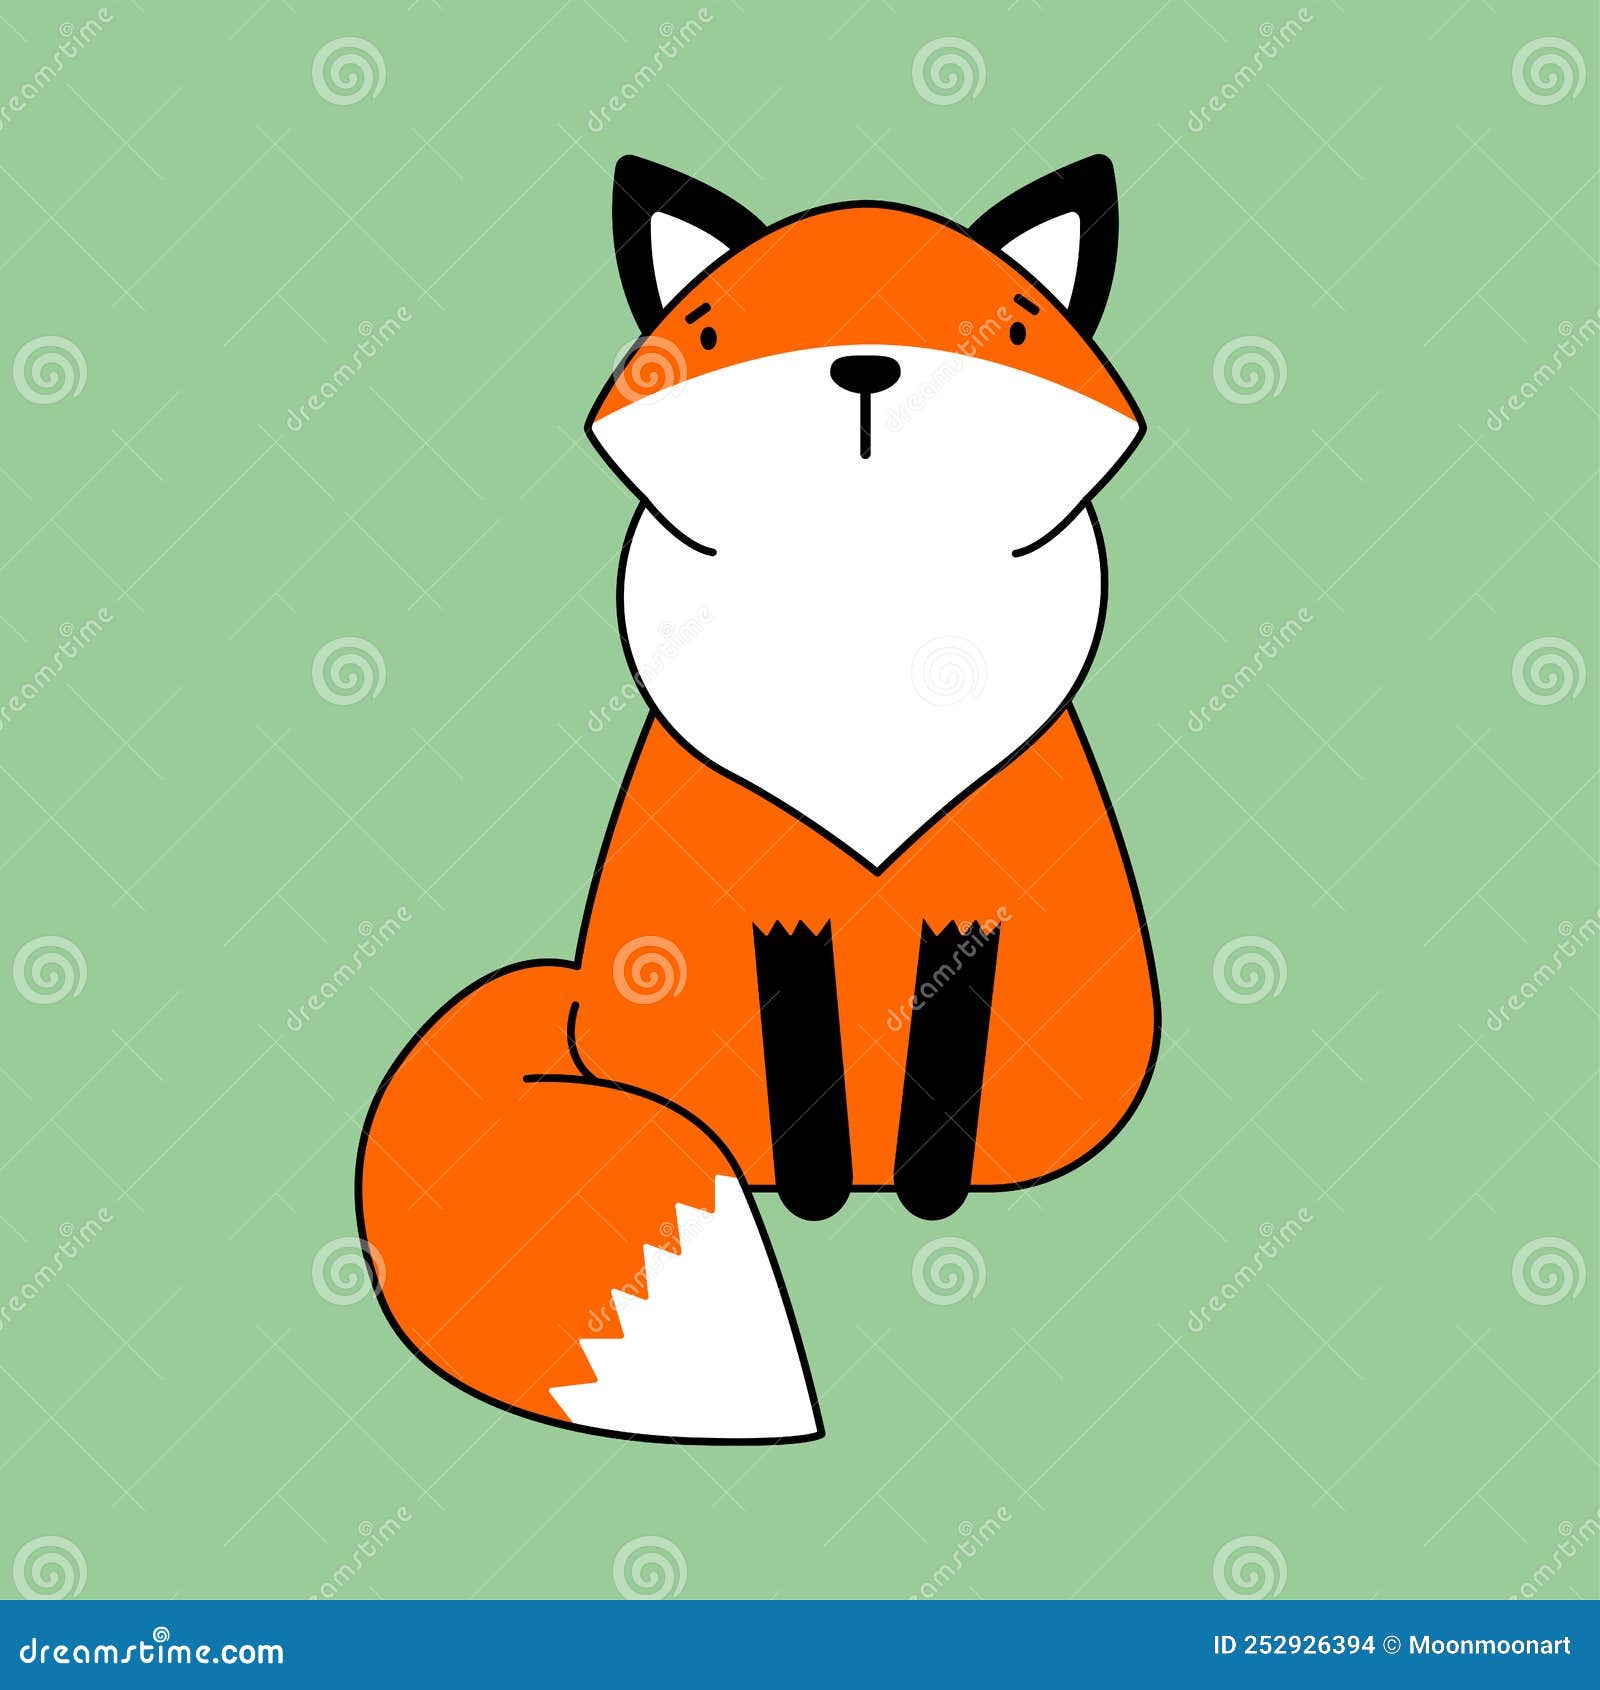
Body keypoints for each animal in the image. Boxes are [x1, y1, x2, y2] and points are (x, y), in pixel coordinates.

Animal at [356, 155, 1158, 1444]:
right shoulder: (768, 912)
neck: (870, 645)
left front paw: (927, 1191)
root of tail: (573, 1009)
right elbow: (802, 1054)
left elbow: (947, 1052)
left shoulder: (979, 910)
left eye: (1013, 328)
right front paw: (822, 1190)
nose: (867, 369)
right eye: (711, 331)